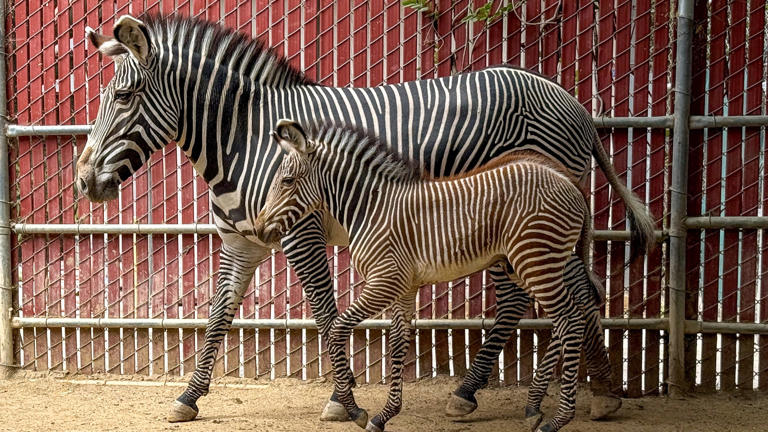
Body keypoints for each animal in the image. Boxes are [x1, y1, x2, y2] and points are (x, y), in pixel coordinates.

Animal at [254, 119, 603, 432]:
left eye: (287, 181)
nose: (258, 230)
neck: (372, 208)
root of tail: (570, 182)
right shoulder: (403, 287)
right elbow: (397, 343)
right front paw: (385, 415)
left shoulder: (384, 281)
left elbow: (338, 330)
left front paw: (355, 411)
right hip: (537, 264)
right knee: (572, 315)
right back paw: (534, 408)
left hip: (536, 261)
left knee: (570, 319)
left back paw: (558, 419)